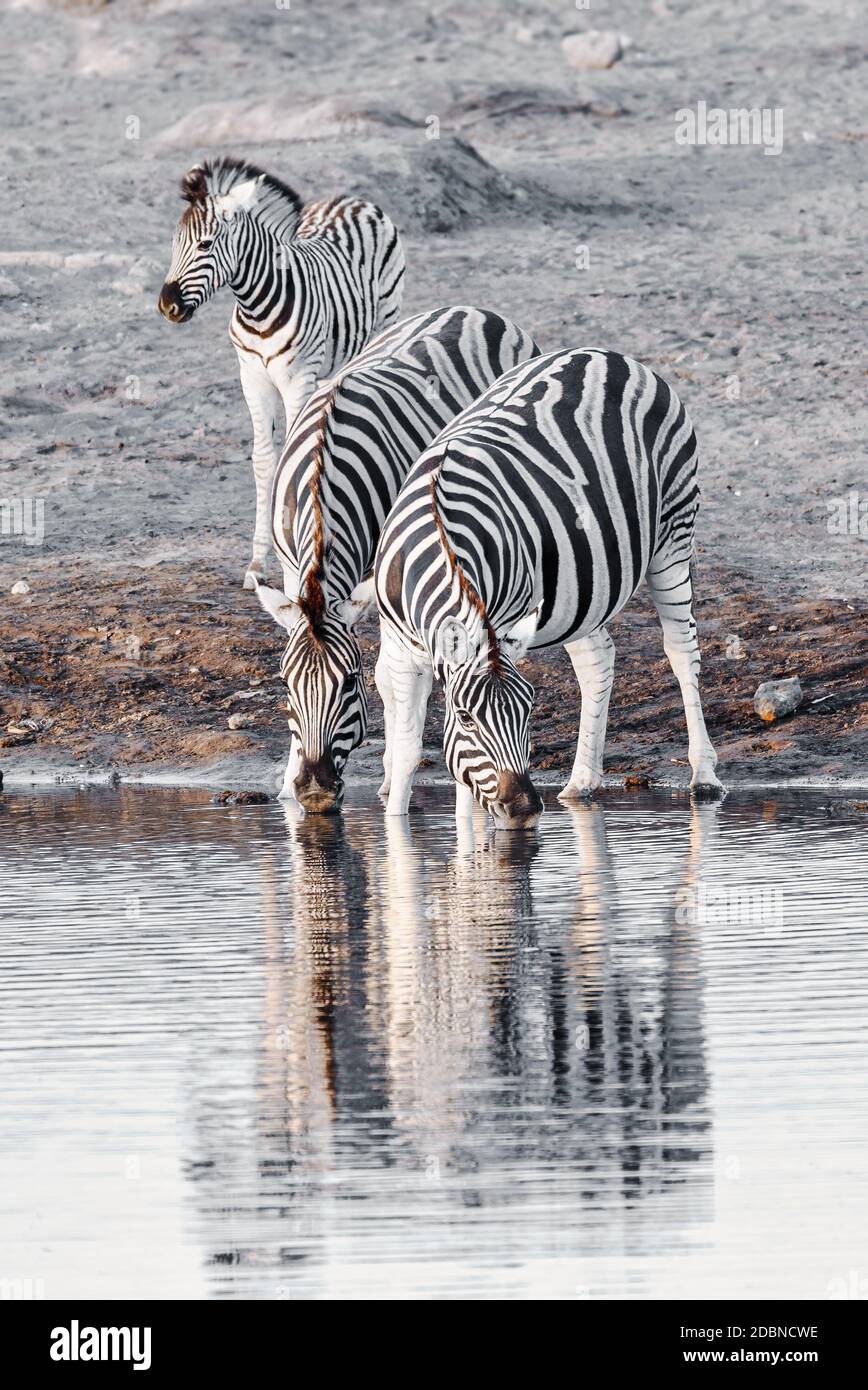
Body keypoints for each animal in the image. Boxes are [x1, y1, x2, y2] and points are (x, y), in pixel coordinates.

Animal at [157, 156, 405, 589]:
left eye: (205, 245)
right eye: (174, 245)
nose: (166, 306)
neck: (256, 308)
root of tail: (352, 198)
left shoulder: (295, 378)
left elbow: (295, 450)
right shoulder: (251, 379)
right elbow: (263, 459)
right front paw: (258, 563)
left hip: (385, 322)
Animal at [252, 305, 540, 812]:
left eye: (349, 683)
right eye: (286, 685)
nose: (315, 792)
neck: (322, 477)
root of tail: (473, 309)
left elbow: (386, 678)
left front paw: (389, 779)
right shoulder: (292, 571)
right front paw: (287, 786)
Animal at [374, 347, 724, 825]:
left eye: (530, 709)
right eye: (465, 718)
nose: (522, 808)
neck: (440, 540)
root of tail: (607, 354)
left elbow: (464, 788)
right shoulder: (401, 646)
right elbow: (410, 749)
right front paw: (394, 825)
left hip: (673, 534)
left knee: (681, 651)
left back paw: (703, 774)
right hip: (584, 585)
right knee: (598, 659)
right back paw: (582, 782)